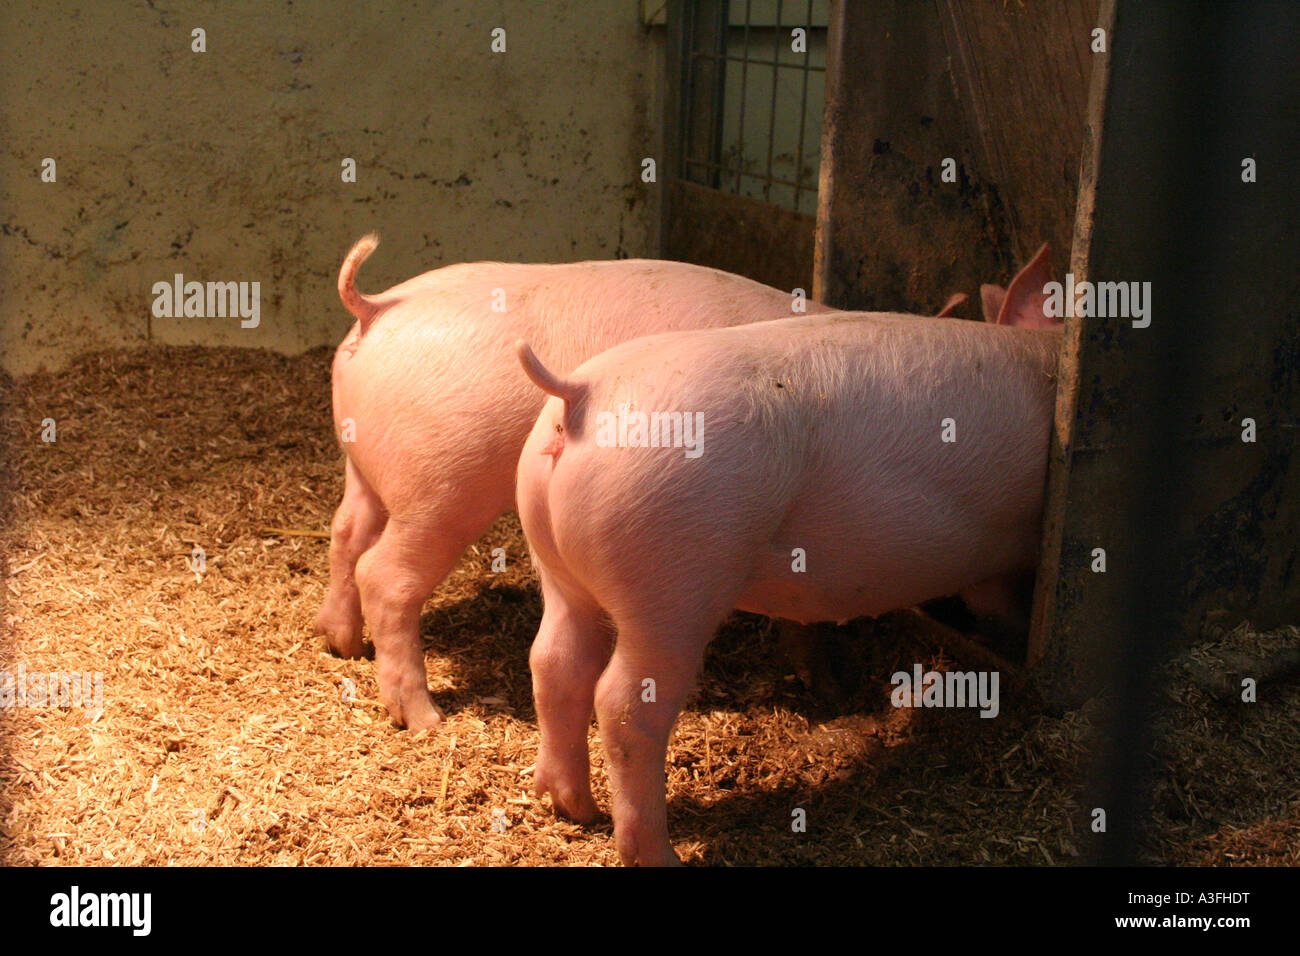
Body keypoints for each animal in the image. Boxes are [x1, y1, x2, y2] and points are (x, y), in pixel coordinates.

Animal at [315, 235, 839, 730]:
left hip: (364, 462)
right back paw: (423, 718)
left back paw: (341, 643)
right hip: (439, 489)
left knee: (346, 532)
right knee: (383, 574)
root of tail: (377, 307)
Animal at [513, 247, 1062, 865]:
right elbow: (999, 606)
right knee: (624, 705)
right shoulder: (1008, 547)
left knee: (554, 660)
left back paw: (572, 806)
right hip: (672, 580)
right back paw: (656, 852)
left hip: (557, 561)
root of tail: (582, 391)